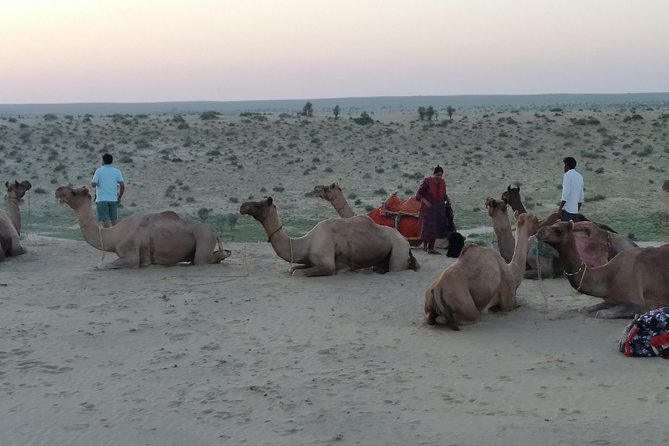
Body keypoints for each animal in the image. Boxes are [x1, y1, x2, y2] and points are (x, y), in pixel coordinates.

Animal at [55, 186, 231, 268]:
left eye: (75, 191)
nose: (58, 189)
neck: (113, 235)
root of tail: (214, 232)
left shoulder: (131, 256)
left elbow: (101, 265)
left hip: (204, 240)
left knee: (205, 259)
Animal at [239, 196, 418, 276]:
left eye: (258, 204)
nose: (242, 206)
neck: (305, 242)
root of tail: (404, 240)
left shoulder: (327, 264)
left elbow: (297, 273)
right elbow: (293, 268)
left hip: (399, 251)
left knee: (395, 267)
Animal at [537, 221, 669, 318]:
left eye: (558, 230)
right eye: (553, 224)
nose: (540, 231)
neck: (608, 276)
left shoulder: (636, 301)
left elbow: (600, 314)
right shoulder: (610, 300)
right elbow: (585, 309)